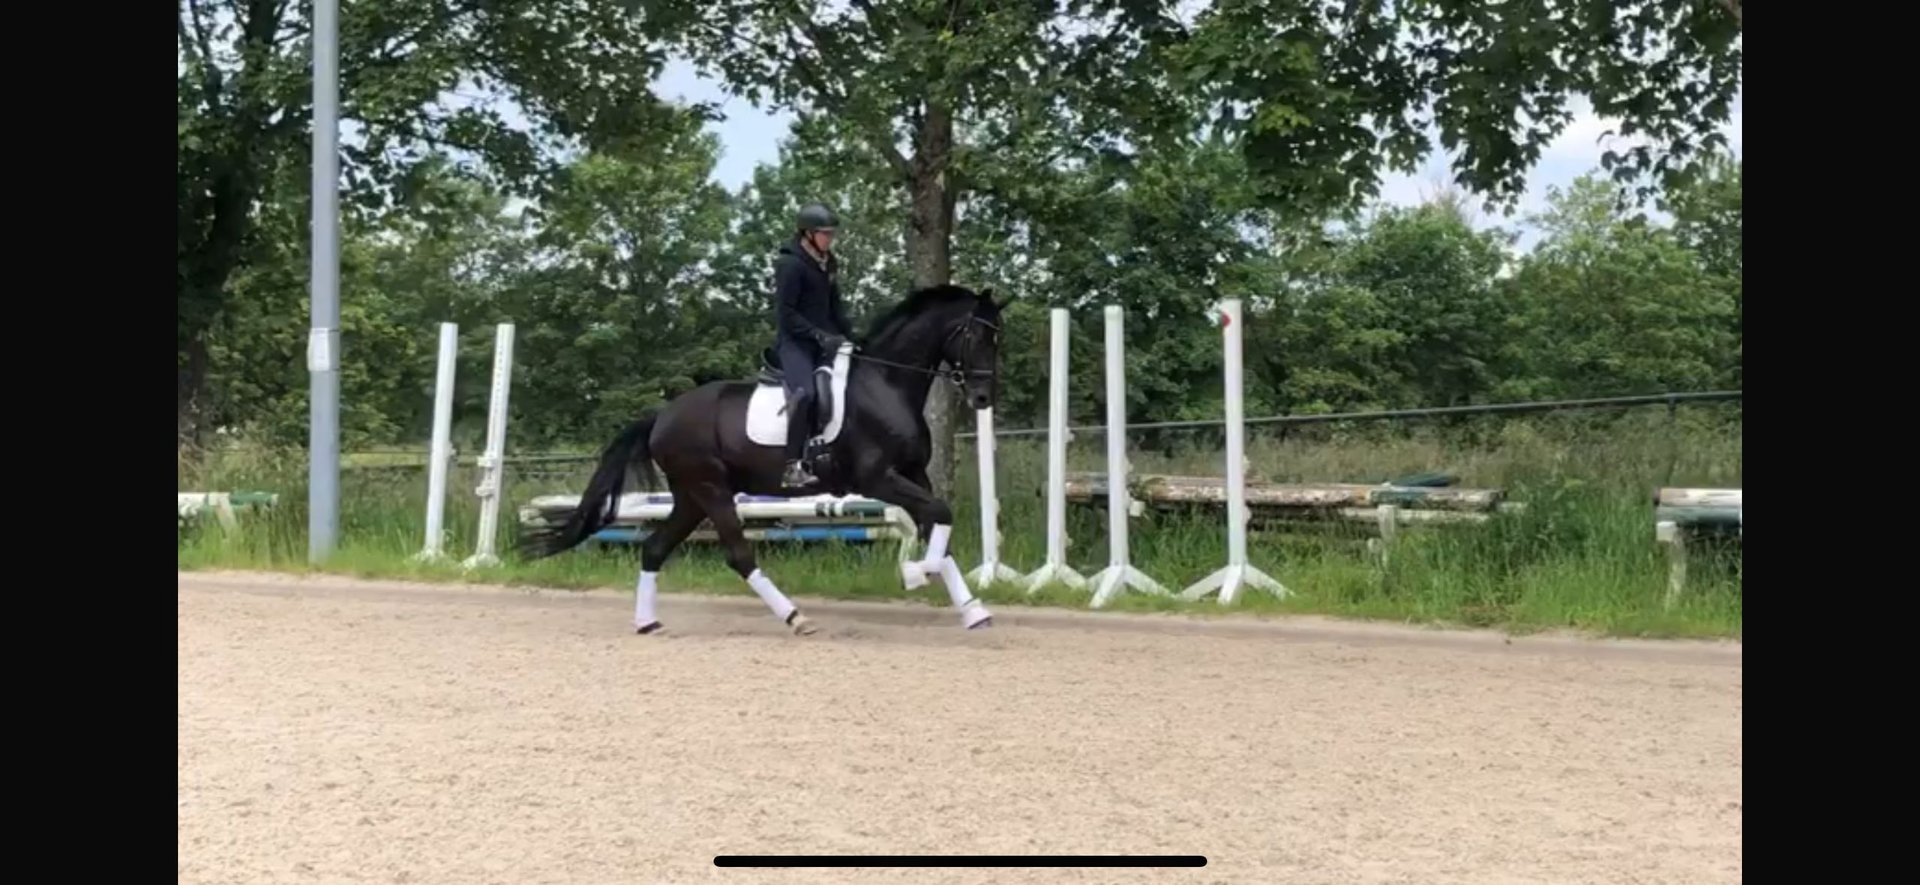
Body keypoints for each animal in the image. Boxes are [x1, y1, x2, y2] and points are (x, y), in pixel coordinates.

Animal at [519, 283, 1008, 635]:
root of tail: (663, 415)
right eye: (976, 334)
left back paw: (647, 622)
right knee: (738, 554)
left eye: (996, 337)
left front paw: (971, 610)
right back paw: (795, 617)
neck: (886, 385)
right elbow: (938, 516)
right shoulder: (877, 479)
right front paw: (915, 574)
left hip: (691, 496)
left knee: (655, 547)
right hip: (711, 490)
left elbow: (937, 522)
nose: (983, 398)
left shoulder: (913, 475)